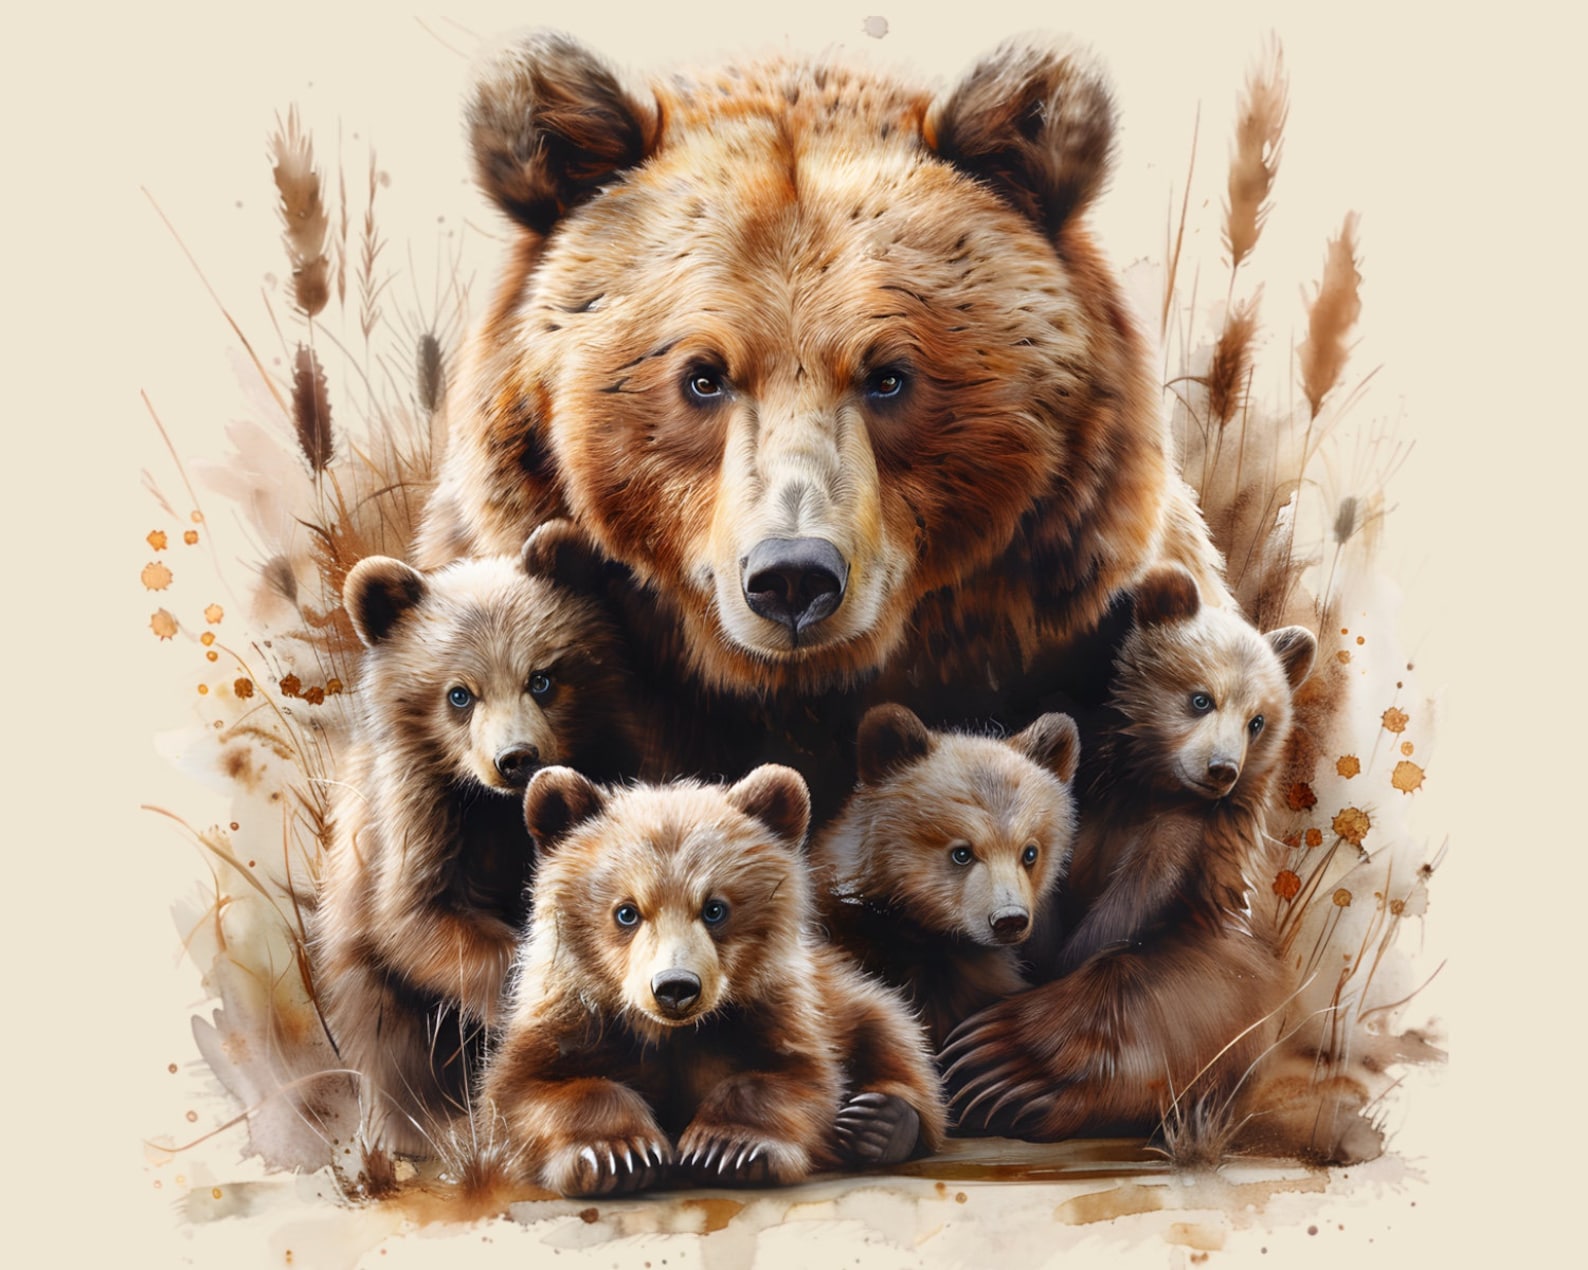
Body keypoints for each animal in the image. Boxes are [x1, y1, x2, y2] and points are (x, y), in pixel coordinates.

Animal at [311, 521, 643, 1157]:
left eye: (543, 678)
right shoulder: (415, 815)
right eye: (459, 694)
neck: (500, 811)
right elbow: (419, 919)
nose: (516, 759)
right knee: (400, 1057)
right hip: (377, 996)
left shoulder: (611, 763)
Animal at [479, 764, 946, 1197]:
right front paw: (619, 1155)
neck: (671, 1032)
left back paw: (881, 1121)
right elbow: (532, 1089)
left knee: (888, 1026)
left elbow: (795, 1076)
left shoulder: (779, 1009)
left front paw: (727, 1148)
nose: (675, 987)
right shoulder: (568, 1017)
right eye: (626, 912)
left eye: (715, 909)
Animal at [942, 564, 1317, 1144]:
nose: (1222, 770)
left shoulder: (1184, 849)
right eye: (1201, 699)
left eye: (1258, 721)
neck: (1143, 786)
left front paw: (1003, 1060)